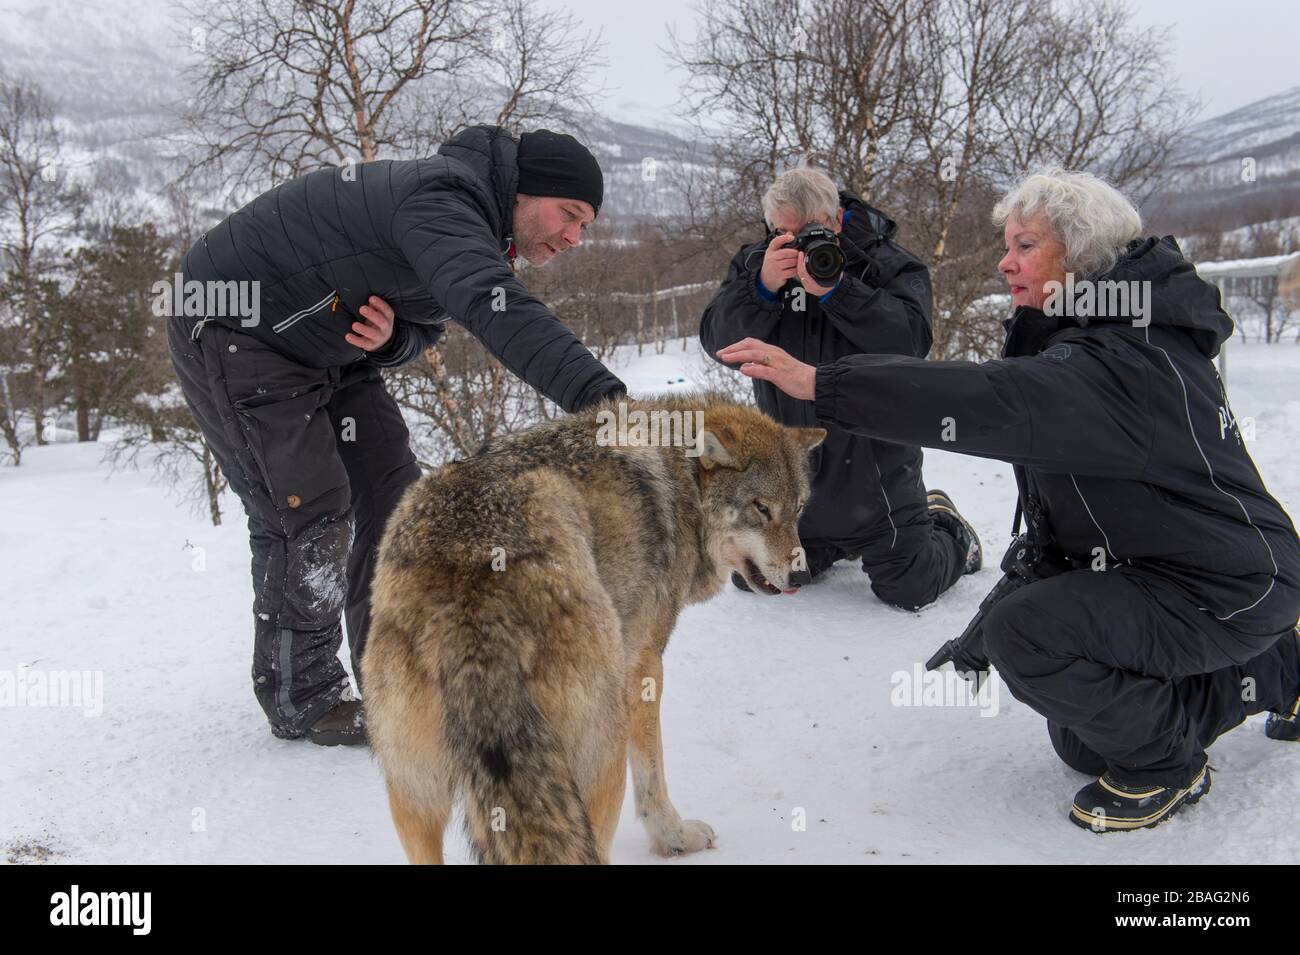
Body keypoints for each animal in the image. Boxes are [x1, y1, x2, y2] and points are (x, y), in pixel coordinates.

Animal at [361, 393, 825, 864]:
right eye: (761, 509)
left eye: (799, 508)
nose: (802, 576)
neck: (686, 482)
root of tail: (472, 600)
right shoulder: (644, 668)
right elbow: (653, 775)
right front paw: (676, 837)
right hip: (601, 755)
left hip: (413, 794)